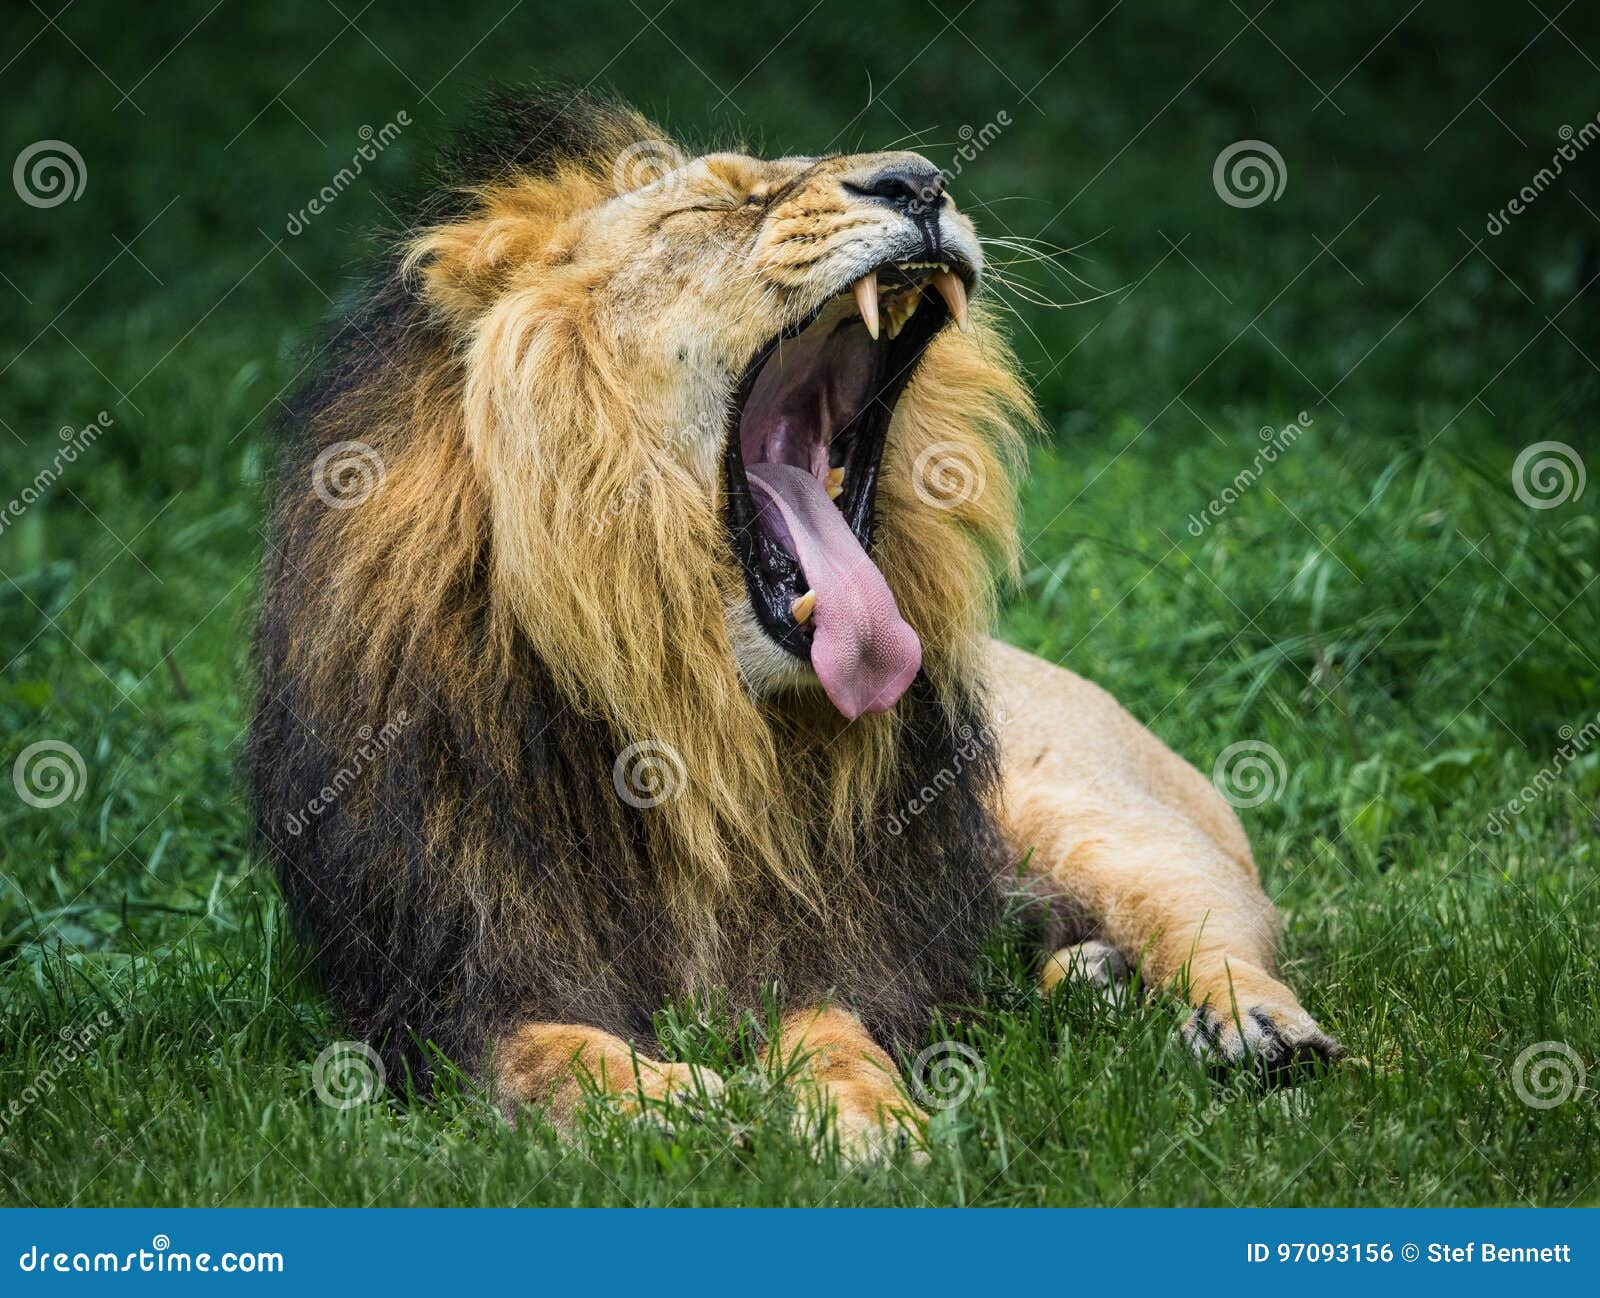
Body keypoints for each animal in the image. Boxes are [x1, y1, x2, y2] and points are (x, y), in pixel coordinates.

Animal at [246, 89, 1339, 1160]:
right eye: (711, 208)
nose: (921, 181)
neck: (690, 720)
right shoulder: (440, 987)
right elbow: (546, 1054)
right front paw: (668, 1103)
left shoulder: (836, 942)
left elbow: (831, 1025)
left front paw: (864, 1117)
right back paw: (1094, 981)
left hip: (1096, 820)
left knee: (1212, 929)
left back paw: (1254, 1031)